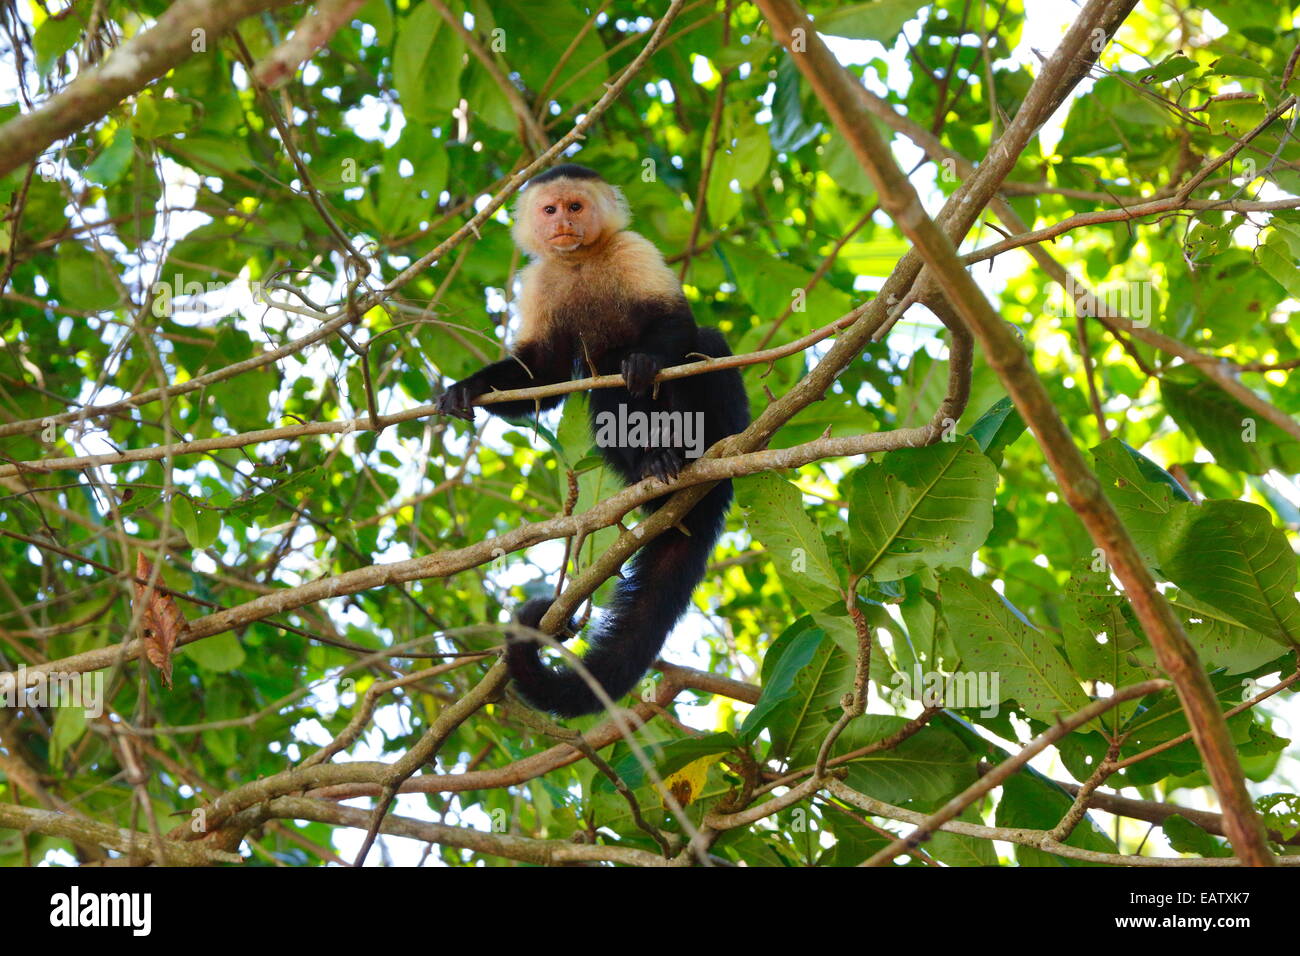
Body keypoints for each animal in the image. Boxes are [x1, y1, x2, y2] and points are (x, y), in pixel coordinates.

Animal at [436, 164, 750, 718]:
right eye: (550, 209)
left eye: (576, 206)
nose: (564, 223)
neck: (579, 260)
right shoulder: (540, 281)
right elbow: (541, 374)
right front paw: (468, 389)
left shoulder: (633, 249)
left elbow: (675, 324)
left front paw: (643, 361)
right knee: (605, 403)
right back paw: (654, 465)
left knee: (703, 345)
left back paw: (703, 448)